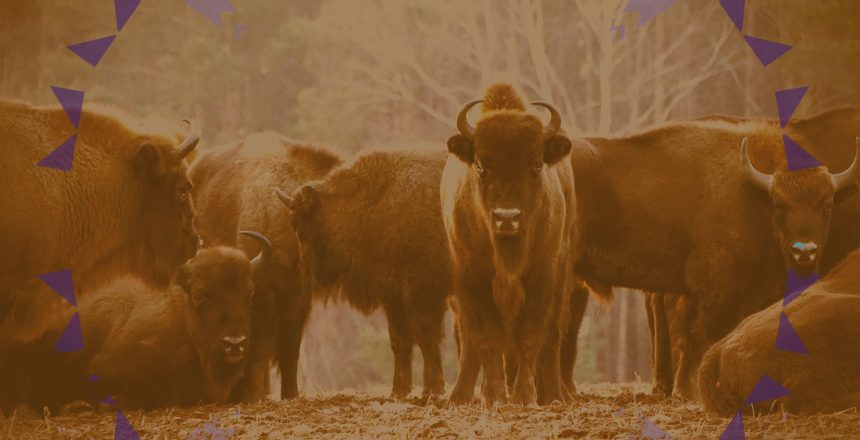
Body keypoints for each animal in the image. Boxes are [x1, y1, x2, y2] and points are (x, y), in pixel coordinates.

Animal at [190, 131, 343, 400]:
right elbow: (261, 345)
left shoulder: (298, 299)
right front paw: (252, 394)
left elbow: (290, 350)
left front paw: (291, 394)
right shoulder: (262, 292)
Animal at [442, 84, 577, 406]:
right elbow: (488, 338)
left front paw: (525, 396)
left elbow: (531, 336)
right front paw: (494, 396)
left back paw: (556, 395)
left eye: (536, 164)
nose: (507, 217)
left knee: (551, 338)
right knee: (470, 341)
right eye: (480, 165)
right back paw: (460, 395)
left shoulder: (542, 276)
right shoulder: (473, 280)